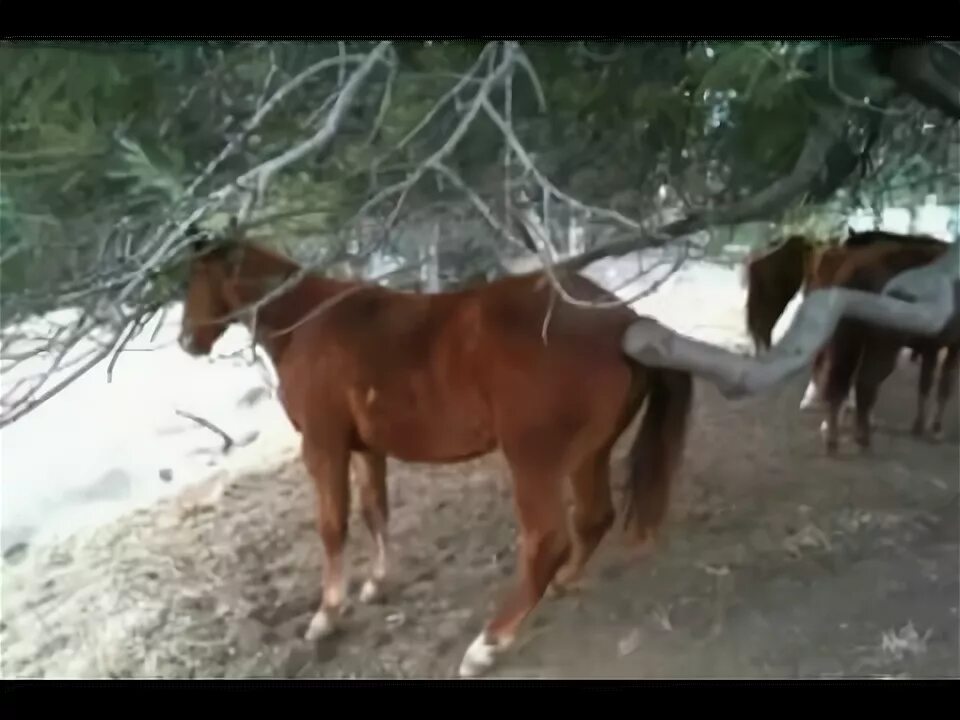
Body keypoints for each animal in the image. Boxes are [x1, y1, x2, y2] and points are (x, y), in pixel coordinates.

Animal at [176, 221, 694, 678]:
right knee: (593, 518)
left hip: (533, 460)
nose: (185, 341)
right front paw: (375, 584)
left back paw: (487, 645)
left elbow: (332, 526)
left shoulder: (323, 446)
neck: (309, 323)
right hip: (590, 453)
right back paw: (563, 583)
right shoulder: (367, 449)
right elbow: (375, 511)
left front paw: (326, 616)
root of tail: (624, 319)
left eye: (195, 279)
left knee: (547, 540)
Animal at [744, 229, 958, 452]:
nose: (757, 336)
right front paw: (930, 427)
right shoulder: (938, 347)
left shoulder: (934, 347)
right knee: (863, 379)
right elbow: (936, 385)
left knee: (845, 377)